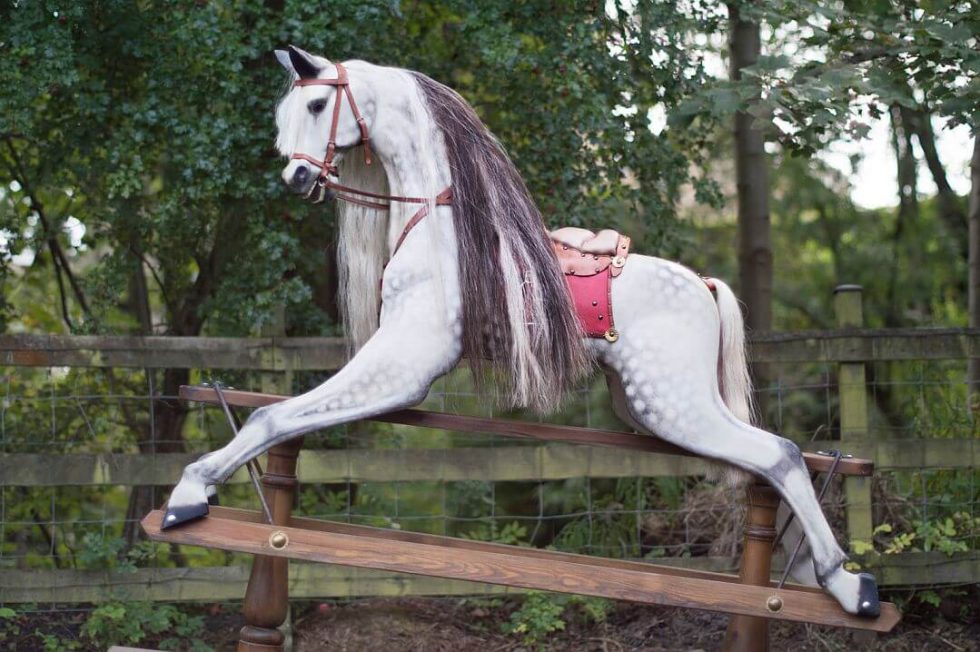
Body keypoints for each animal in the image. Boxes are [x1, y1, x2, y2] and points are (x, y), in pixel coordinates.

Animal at [162, 45, 880, 618]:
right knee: (764, 464)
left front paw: (186, 494)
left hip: (675, 406)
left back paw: (851, 586)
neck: (440, 222)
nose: (297, 176)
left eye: (316, 103)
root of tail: (703, 286)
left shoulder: (400, 368)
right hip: (660, 408)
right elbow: (276, 416)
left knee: (779, 455)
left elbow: (271, 416)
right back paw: (815, 572)